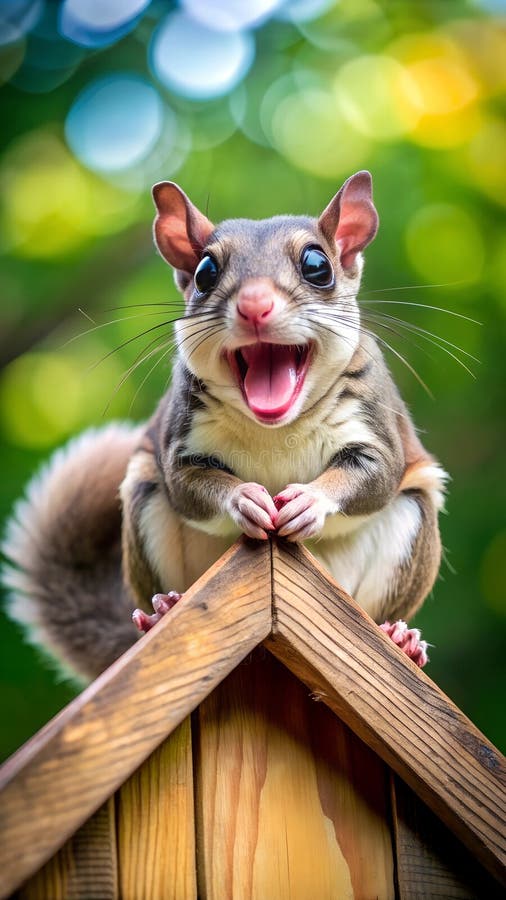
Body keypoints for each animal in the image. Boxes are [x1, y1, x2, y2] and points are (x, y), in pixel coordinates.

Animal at [2, 171, 447, 683]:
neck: (274, 429)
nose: (254, 305)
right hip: (145, 505)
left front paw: (308, 501)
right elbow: (190, 484)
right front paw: (245, 499)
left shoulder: (375, 428)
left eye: (318, 265)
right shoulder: (181, 443)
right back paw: (162, 609)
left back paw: (401, 639)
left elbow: (374, 474)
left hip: (408, 527)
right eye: (204, 273)